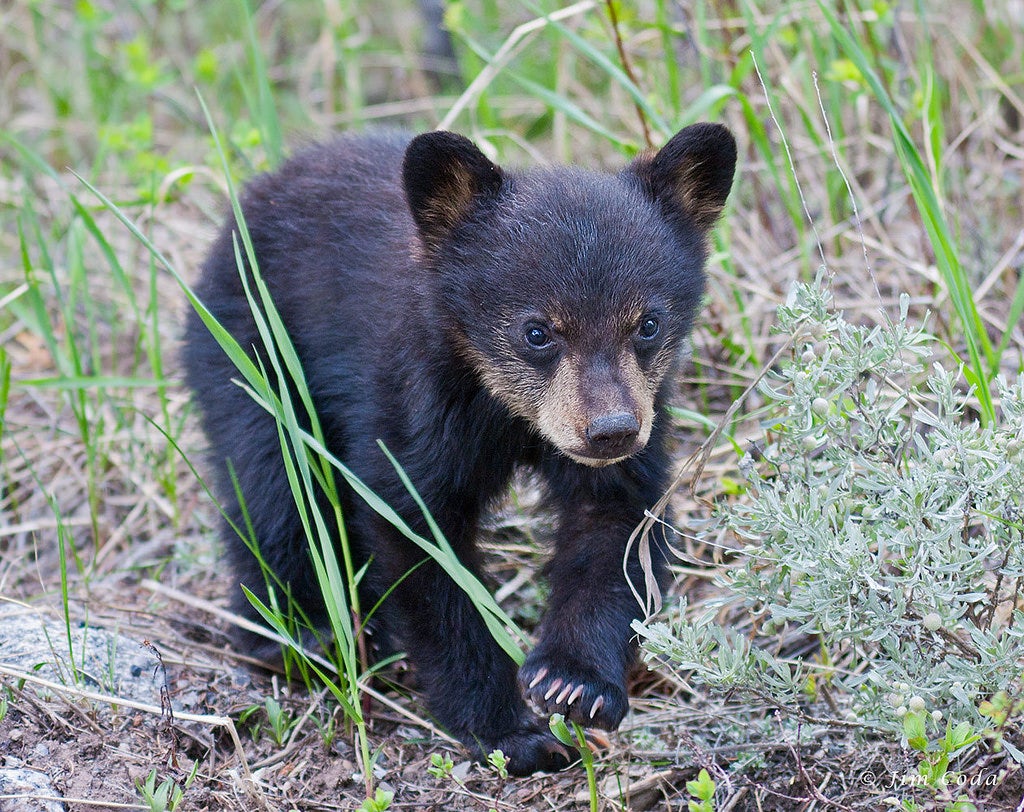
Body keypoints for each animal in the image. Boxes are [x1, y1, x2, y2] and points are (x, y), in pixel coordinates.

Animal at [182, 123, 736, 775]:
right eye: (537, 331)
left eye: (647, 324)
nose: (611, 431)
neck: (504, 411)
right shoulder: (413, 399)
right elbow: (418, 539)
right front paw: (509, 729)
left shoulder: (637, 427)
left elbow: (618, 528)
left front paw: (575, 683)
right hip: (248, 342)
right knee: (272, 483)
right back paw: (299, 634)